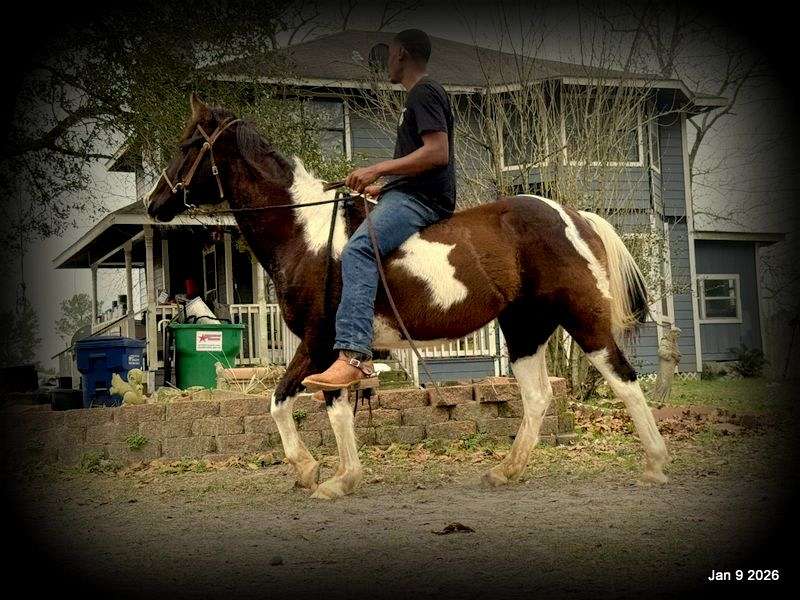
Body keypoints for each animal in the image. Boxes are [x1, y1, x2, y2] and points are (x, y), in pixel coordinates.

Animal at [146, 94, 669, 499]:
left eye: (188, 144)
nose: (154, 203)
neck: (306, 233)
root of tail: (574, 216)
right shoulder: (332, 351)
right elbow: (330, 407)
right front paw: (339, 476)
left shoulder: (319, 342)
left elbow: (282, 402)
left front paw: (315, 472)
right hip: (523, 330)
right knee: (538, 397)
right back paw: (507, 470)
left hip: (583, 319)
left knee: (624, 379)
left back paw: (655, 464)